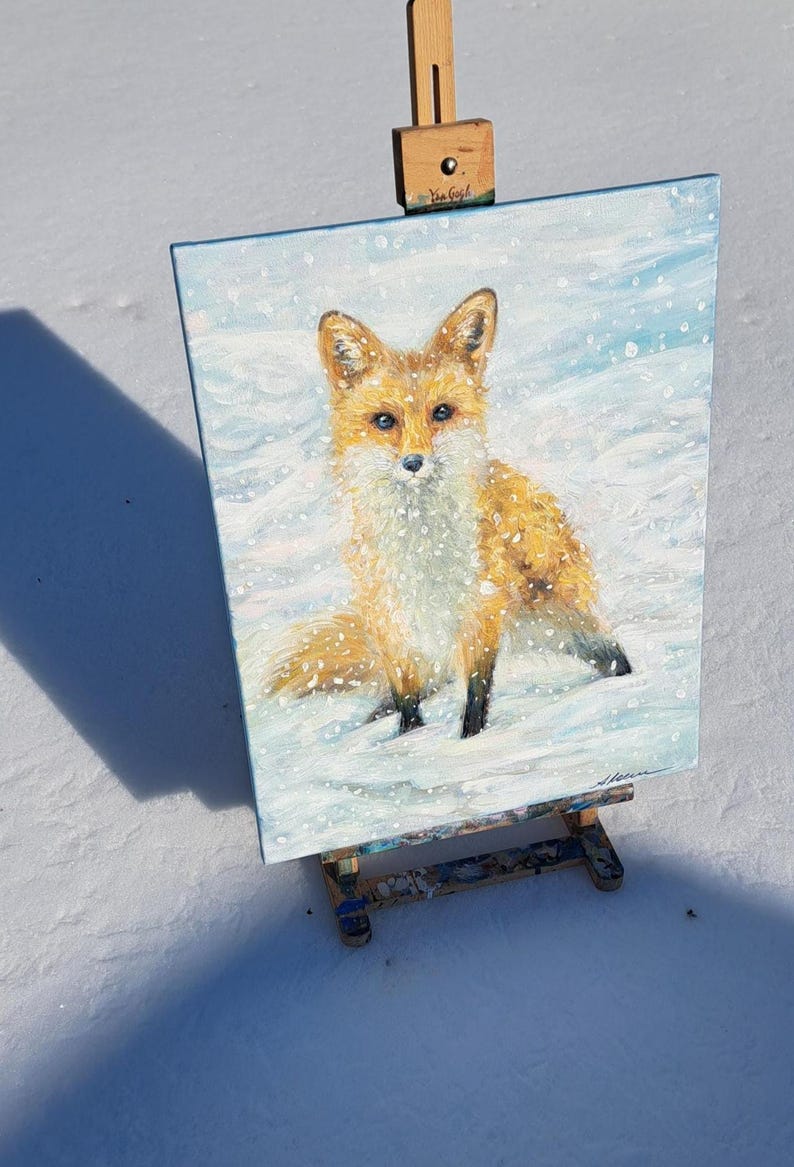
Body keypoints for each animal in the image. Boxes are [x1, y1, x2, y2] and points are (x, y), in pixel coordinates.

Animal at [265, 287, 631, 738]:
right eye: (384, 420)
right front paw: (408, 740)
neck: (423, 546)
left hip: (567, 622)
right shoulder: (390, 622)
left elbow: (476, 693)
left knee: (615, 657)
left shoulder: (480, 613)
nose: (414, 462)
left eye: (441, 412)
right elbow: (407, 699)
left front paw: (468, 743)